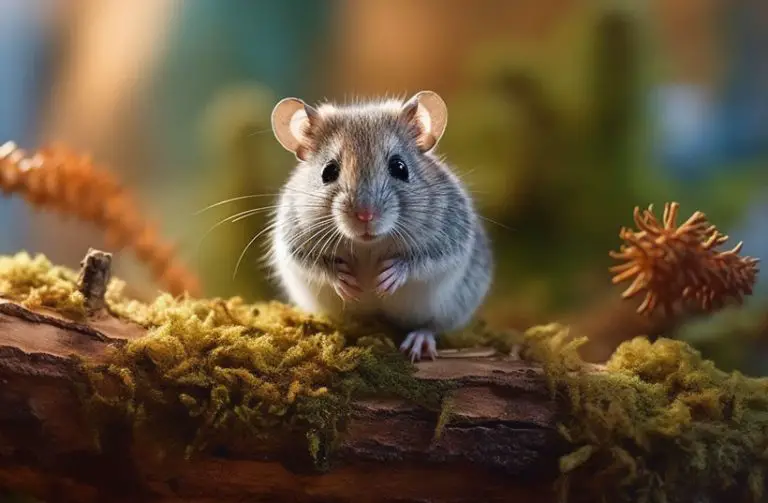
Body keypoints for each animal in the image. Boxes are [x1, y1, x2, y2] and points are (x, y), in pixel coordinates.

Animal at [267, 91, 493, 361]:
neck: (367, 244)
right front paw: (345, 280)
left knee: (431, 326)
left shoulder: (448, 240)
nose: (365, 216)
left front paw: (388, 276)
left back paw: (418, 342)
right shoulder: (295, 243)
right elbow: (317, 264)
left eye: (400, 167)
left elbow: (420, 261)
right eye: (328, 171)